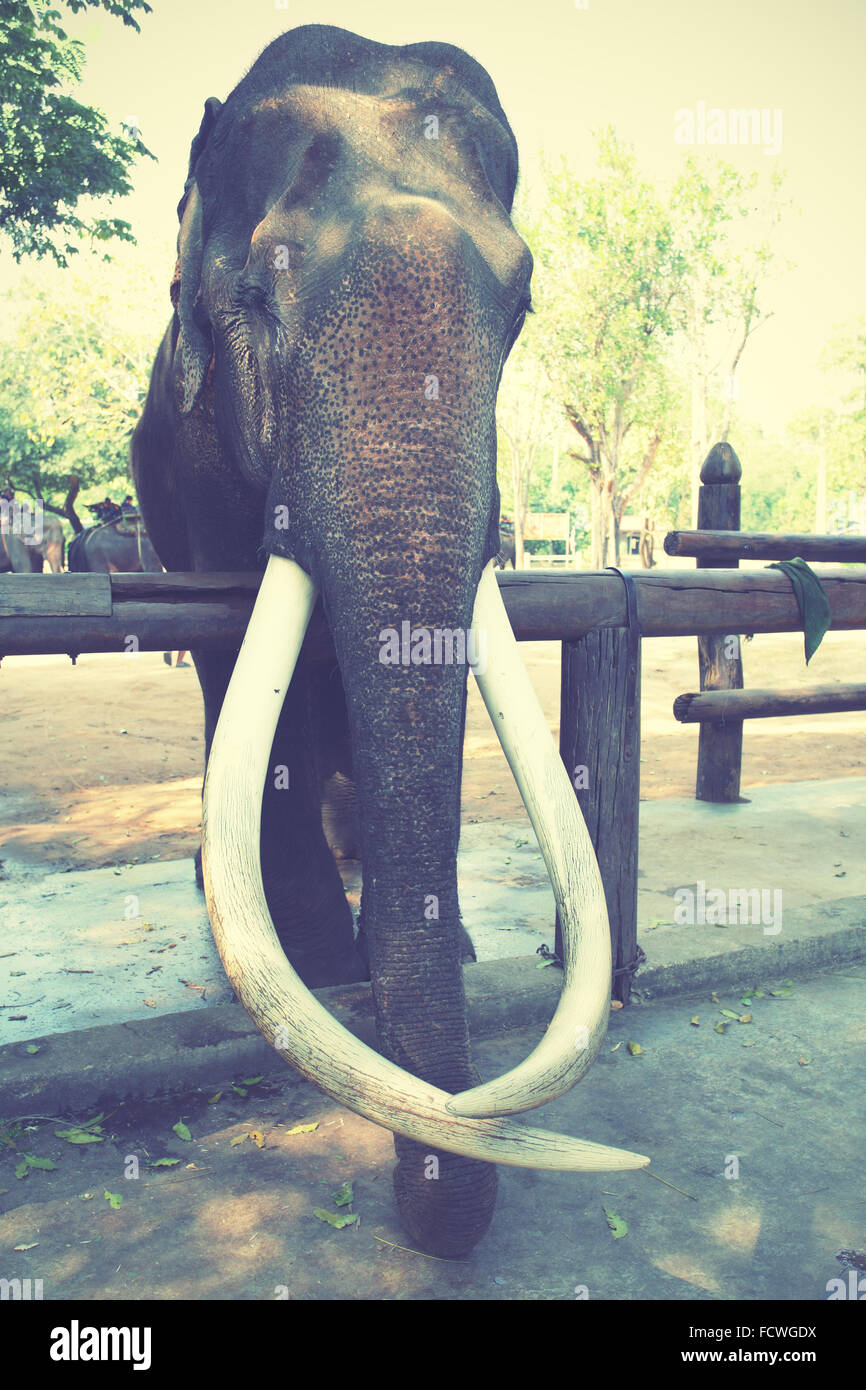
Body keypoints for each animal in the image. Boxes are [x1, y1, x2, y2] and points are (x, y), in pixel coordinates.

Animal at [131, 23, 646, 1257]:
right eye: (255, 299)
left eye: (521, 307)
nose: (432, 1202)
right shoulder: (193, 461)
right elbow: (234, 643)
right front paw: (323, 965)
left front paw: (430, 950)